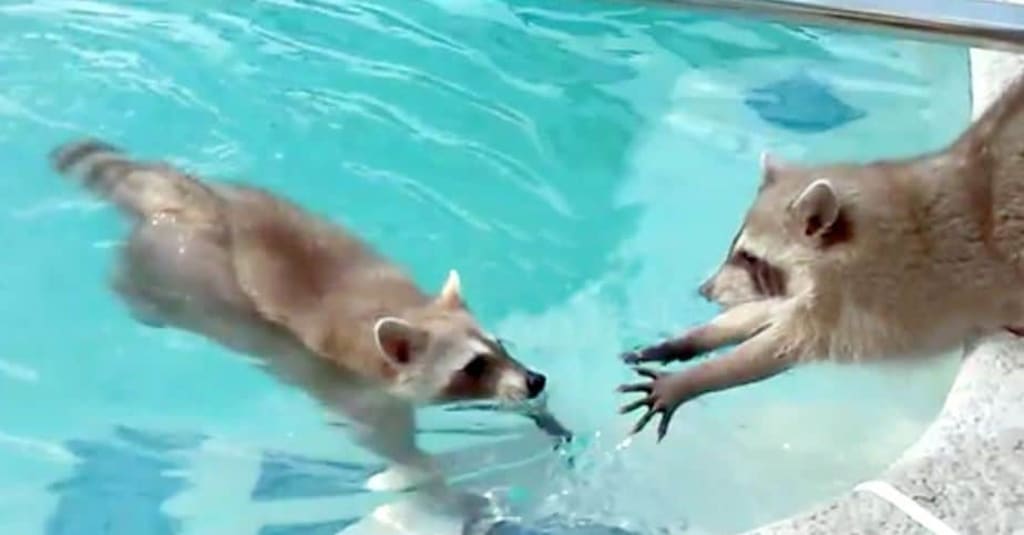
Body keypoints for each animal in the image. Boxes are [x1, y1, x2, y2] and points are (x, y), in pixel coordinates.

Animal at [50, 139, 548, 491]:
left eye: (499, 345)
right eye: (473, 366)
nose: (535, 381)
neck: (409, 310)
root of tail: (194, 199)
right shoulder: (351, 385)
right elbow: (385, 440)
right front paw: (425, 474)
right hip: (167, 269)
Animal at [619, 72, 1024, 441]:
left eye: (749, 257)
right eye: (738, 249)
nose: (705, 290)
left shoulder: (872, 304)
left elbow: (781, 345)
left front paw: (692, 379)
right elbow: (767, 310)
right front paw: (691, 340)